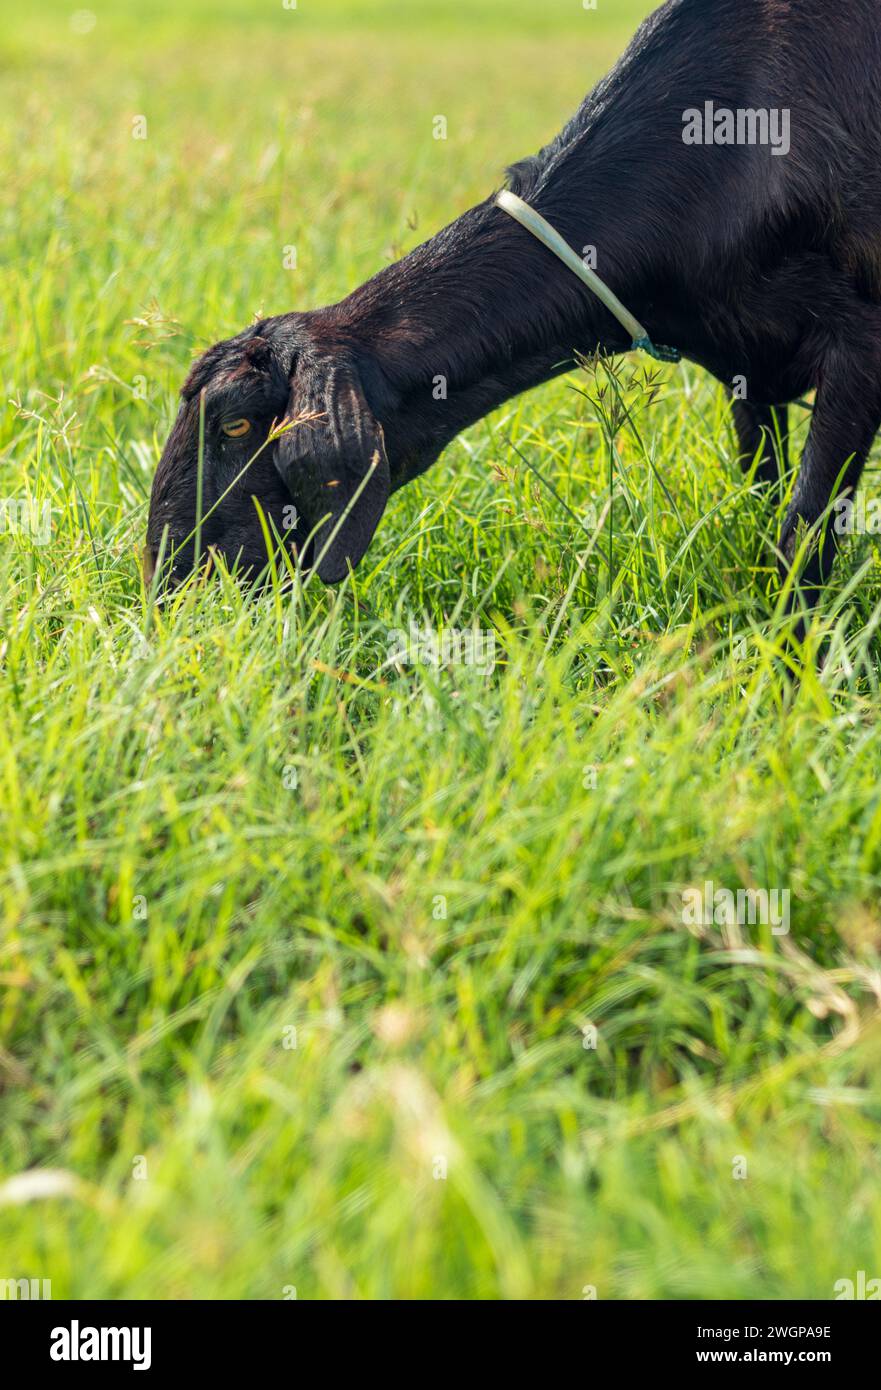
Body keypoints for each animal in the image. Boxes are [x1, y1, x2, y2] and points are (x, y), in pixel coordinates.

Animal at [146, 0, 881, 633]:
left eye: (237, 423)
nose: (165, 584)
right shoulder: (747, 368)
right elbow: (765, 493)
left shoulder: (859, 346)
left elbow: (803, 533)